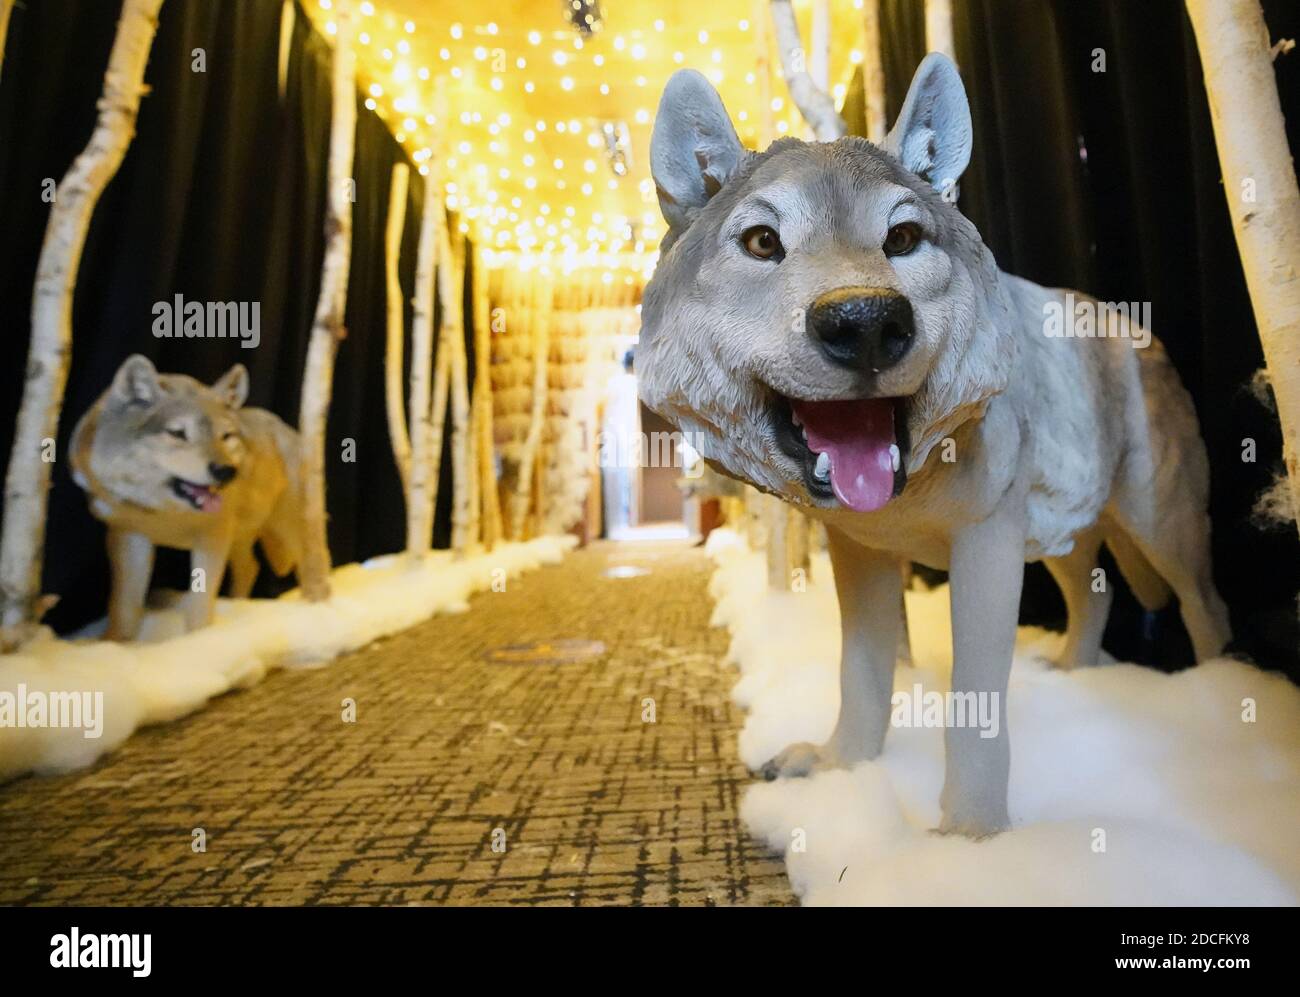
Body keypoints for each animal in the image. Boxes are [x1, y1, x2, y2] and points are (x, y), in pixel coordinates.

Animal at [70, 355, 302, 640]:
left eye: (226, 437)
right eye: (178, 433)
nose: (226, 471)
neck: (165, 511)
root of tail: (281, 424)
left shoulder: (213, 538)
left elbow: (199, 605)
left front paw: (198, 641)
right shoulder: (128, 537)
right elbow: (124, 606)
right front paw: (114, 644)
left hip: (287, 533)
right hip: (240, 539)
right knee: (251, 567)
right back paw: (238, 609)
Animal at [639, 55, 1230, 837]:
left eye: (903, 240)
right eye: (763, 242)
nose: (864, 321)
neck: (906, 492)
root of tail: (1136, 327)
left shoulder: (986, 547)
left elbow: (974, 715)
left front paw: (971, 838)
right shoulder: (860, 554)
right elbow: (860, 678)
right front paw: (840, 769)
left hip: (1161, 533)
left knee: (1207, 611)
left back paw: (1218, 707)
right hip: (1064, 535)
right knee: (1093, 597)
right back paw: (1073, 674)